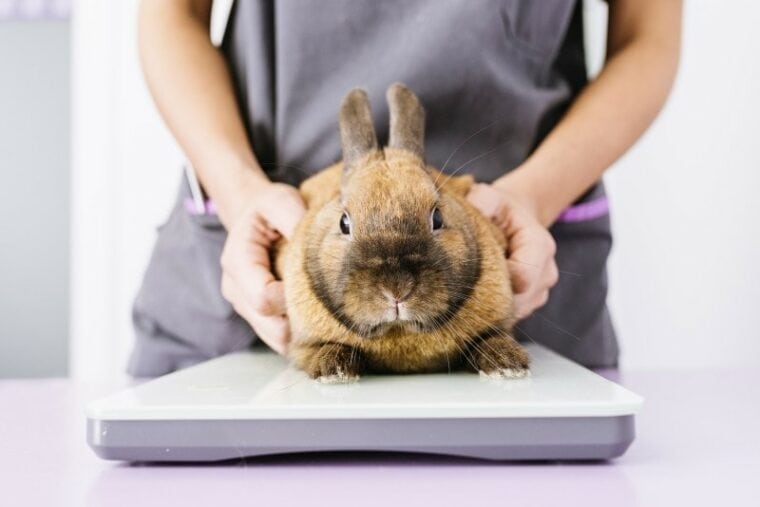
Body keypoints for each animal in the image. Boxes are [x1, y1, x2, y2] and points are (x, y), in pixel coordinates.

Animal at [274, 83, 529, 383]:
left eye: (437, 218)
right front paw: (332, 371)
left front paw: (508, 364)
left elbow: (490, 338)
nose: (396, 289)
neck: (400, 330)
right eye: (344, 223)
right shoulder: (304, 343)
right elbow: (322, 348)